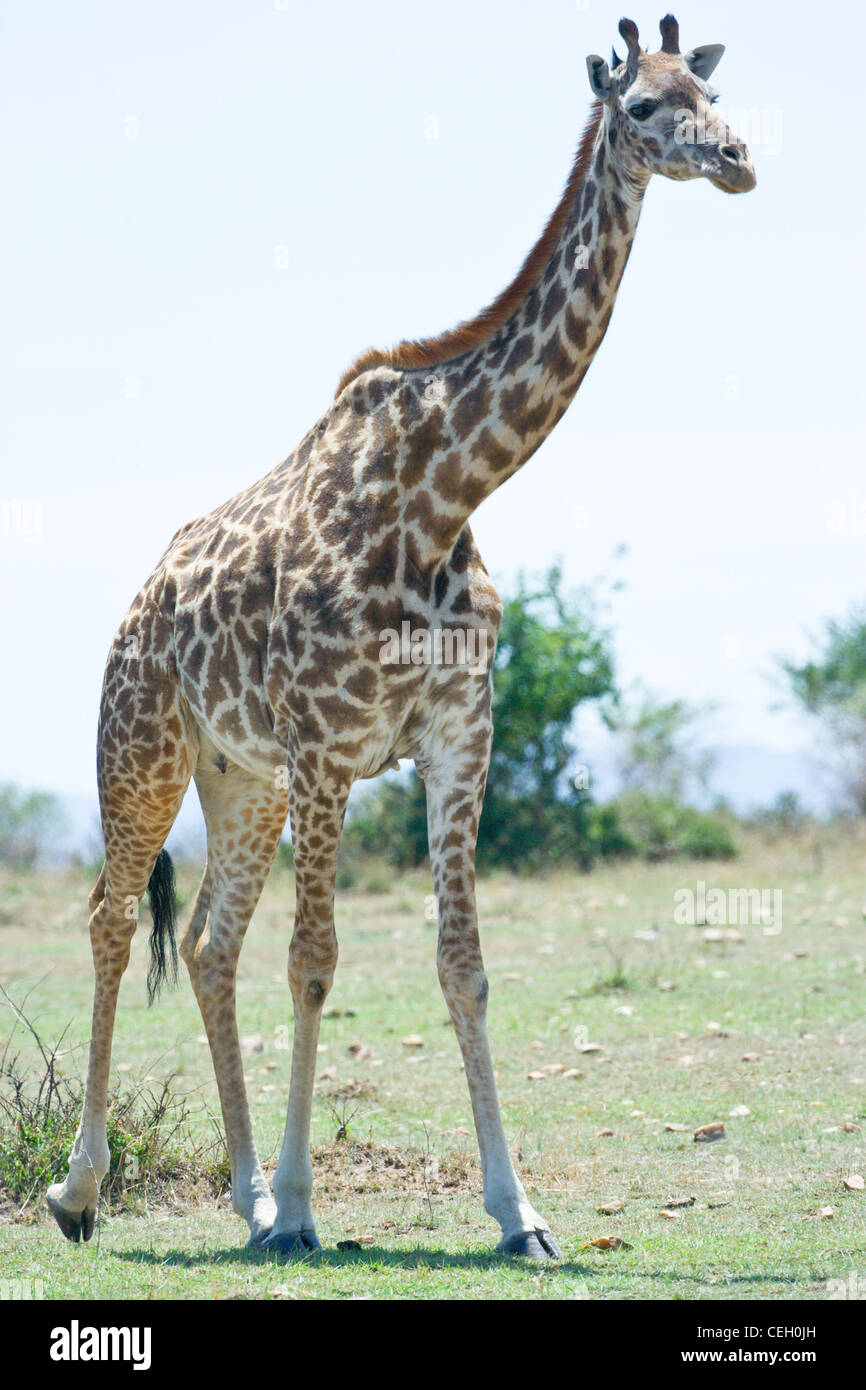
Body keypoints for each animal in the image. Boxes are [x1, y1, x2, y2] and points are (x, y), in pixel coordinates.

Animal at [47, 15, 754, 1261]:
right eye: (640, 107)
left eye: (710, 90)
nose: (734, 157)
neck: (441, 491)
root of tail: (136, 604)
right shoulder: (332, 747)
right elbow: (316, 962)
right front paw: (305, 1212)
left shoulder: (456, 738)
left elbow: (460, 966)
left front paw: (517, 1213)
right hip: (142, 750)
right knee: (112, 919)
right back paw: (85, 1189)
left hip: (243, 778)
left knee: (209, 945)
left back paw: (245, 1193)